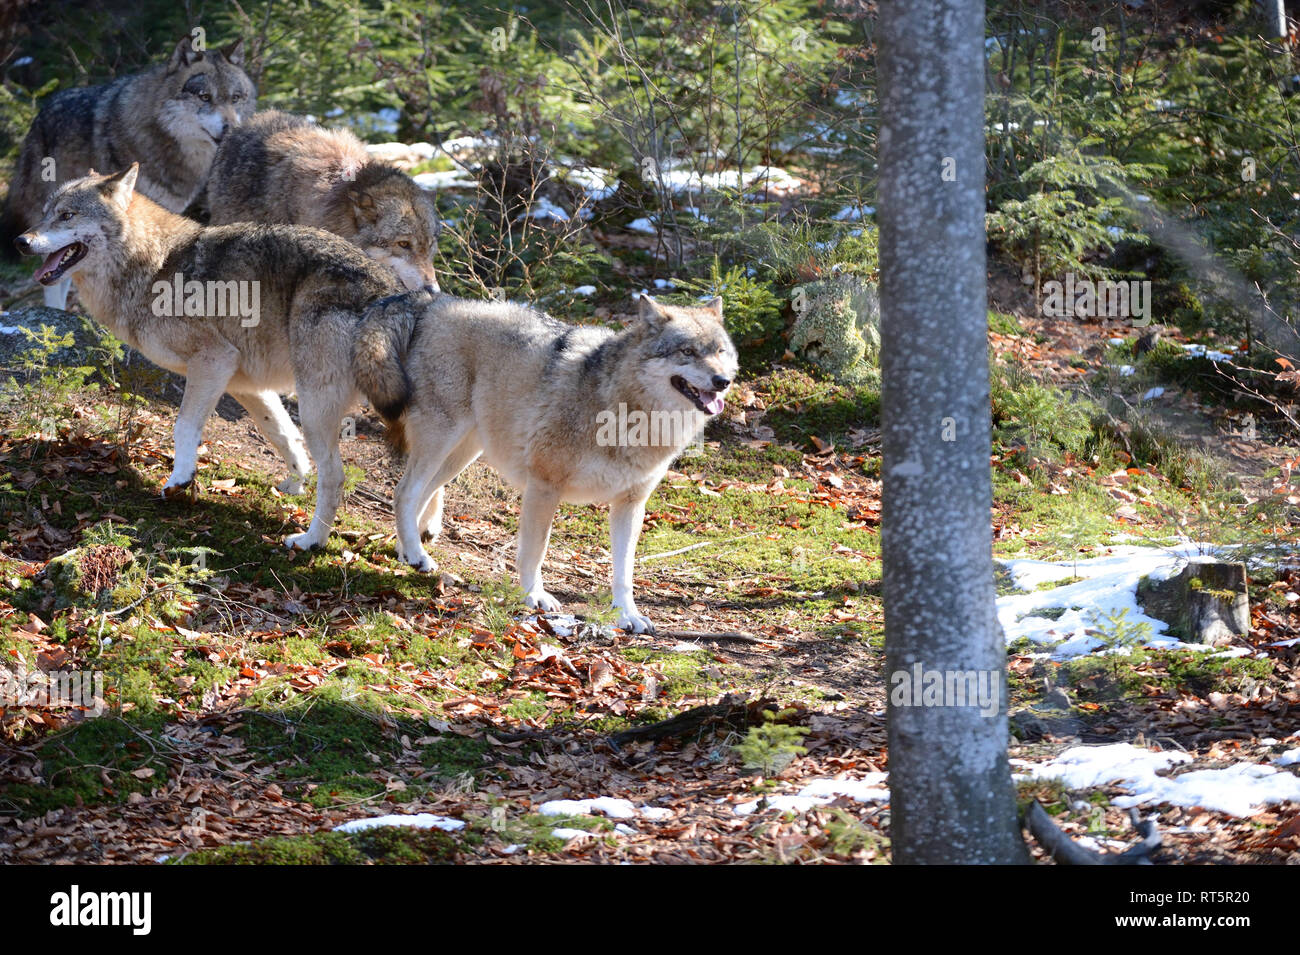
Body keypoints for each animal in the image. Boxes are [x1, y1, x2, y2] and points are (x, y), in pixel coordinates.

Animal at [14, 164, 402, 522]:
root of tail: (387, 288)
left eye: (67, 215)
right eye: (46, 213)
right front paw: (295, 483)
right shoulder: (244, 383)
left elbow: (184, 425)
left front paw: (179, 482)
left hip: (316, 402)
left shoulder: (213, 360)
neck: (154, 267)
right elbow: (282, 434)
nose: (21, 242)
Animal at [350, 292, 738, 633]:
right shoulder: (544, 486)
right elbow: (535, 552)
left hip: (459, 455)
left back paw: (408, 553)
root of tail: (434, 301)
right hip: (442, 439)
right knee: (403, 491)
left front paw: (628, 615)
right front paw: (534, 596)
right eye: (687, 351)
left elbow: (624, 572)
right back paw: (416, 553)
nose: (723, 381)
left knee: (418, 494)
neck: (624, 406)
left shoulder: (630, 504)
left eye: (720, 352)